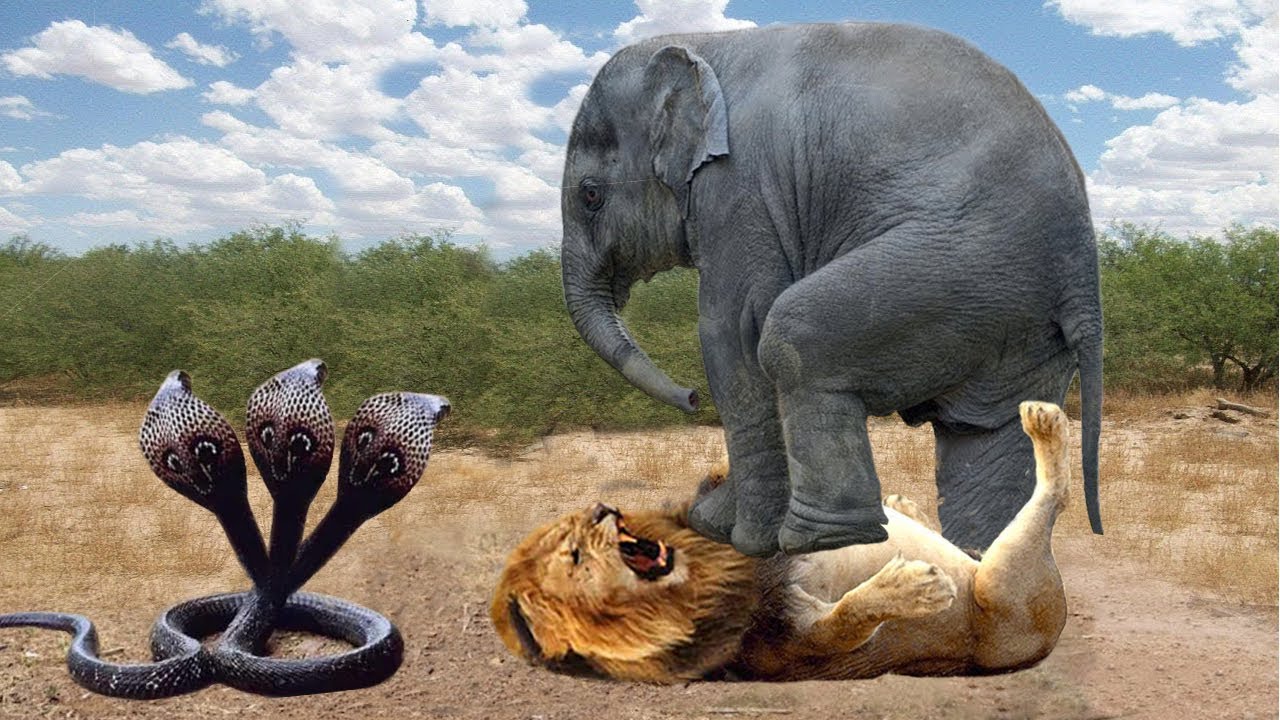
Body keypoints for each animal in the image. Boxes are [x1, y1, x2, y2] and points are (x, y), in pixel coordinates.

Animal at [490, 401, 1072, 682]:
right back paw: (1046, 425)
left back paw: (905, 503)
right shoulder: (789, 640)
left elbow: (726, 478)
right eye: (572, 558)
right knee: (1054, 495)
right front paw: (910, 589)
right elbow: (844, 622)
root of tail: (1052, 641)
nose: (599, 510)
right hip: (1000, 590)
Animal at [559, 22, 1103, 557]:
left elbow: (731, 335)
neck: (705, 45)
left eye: (590, 196)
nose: (690, 398)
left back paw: (820, 542)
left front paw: (741, 540)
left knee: (791, 341)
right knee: (984, 430)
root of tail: (1083, 277)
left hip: (960, 267)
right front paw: (711, 525)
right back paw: (974, 563)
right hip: (1016, 316)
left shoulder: (739, 188)